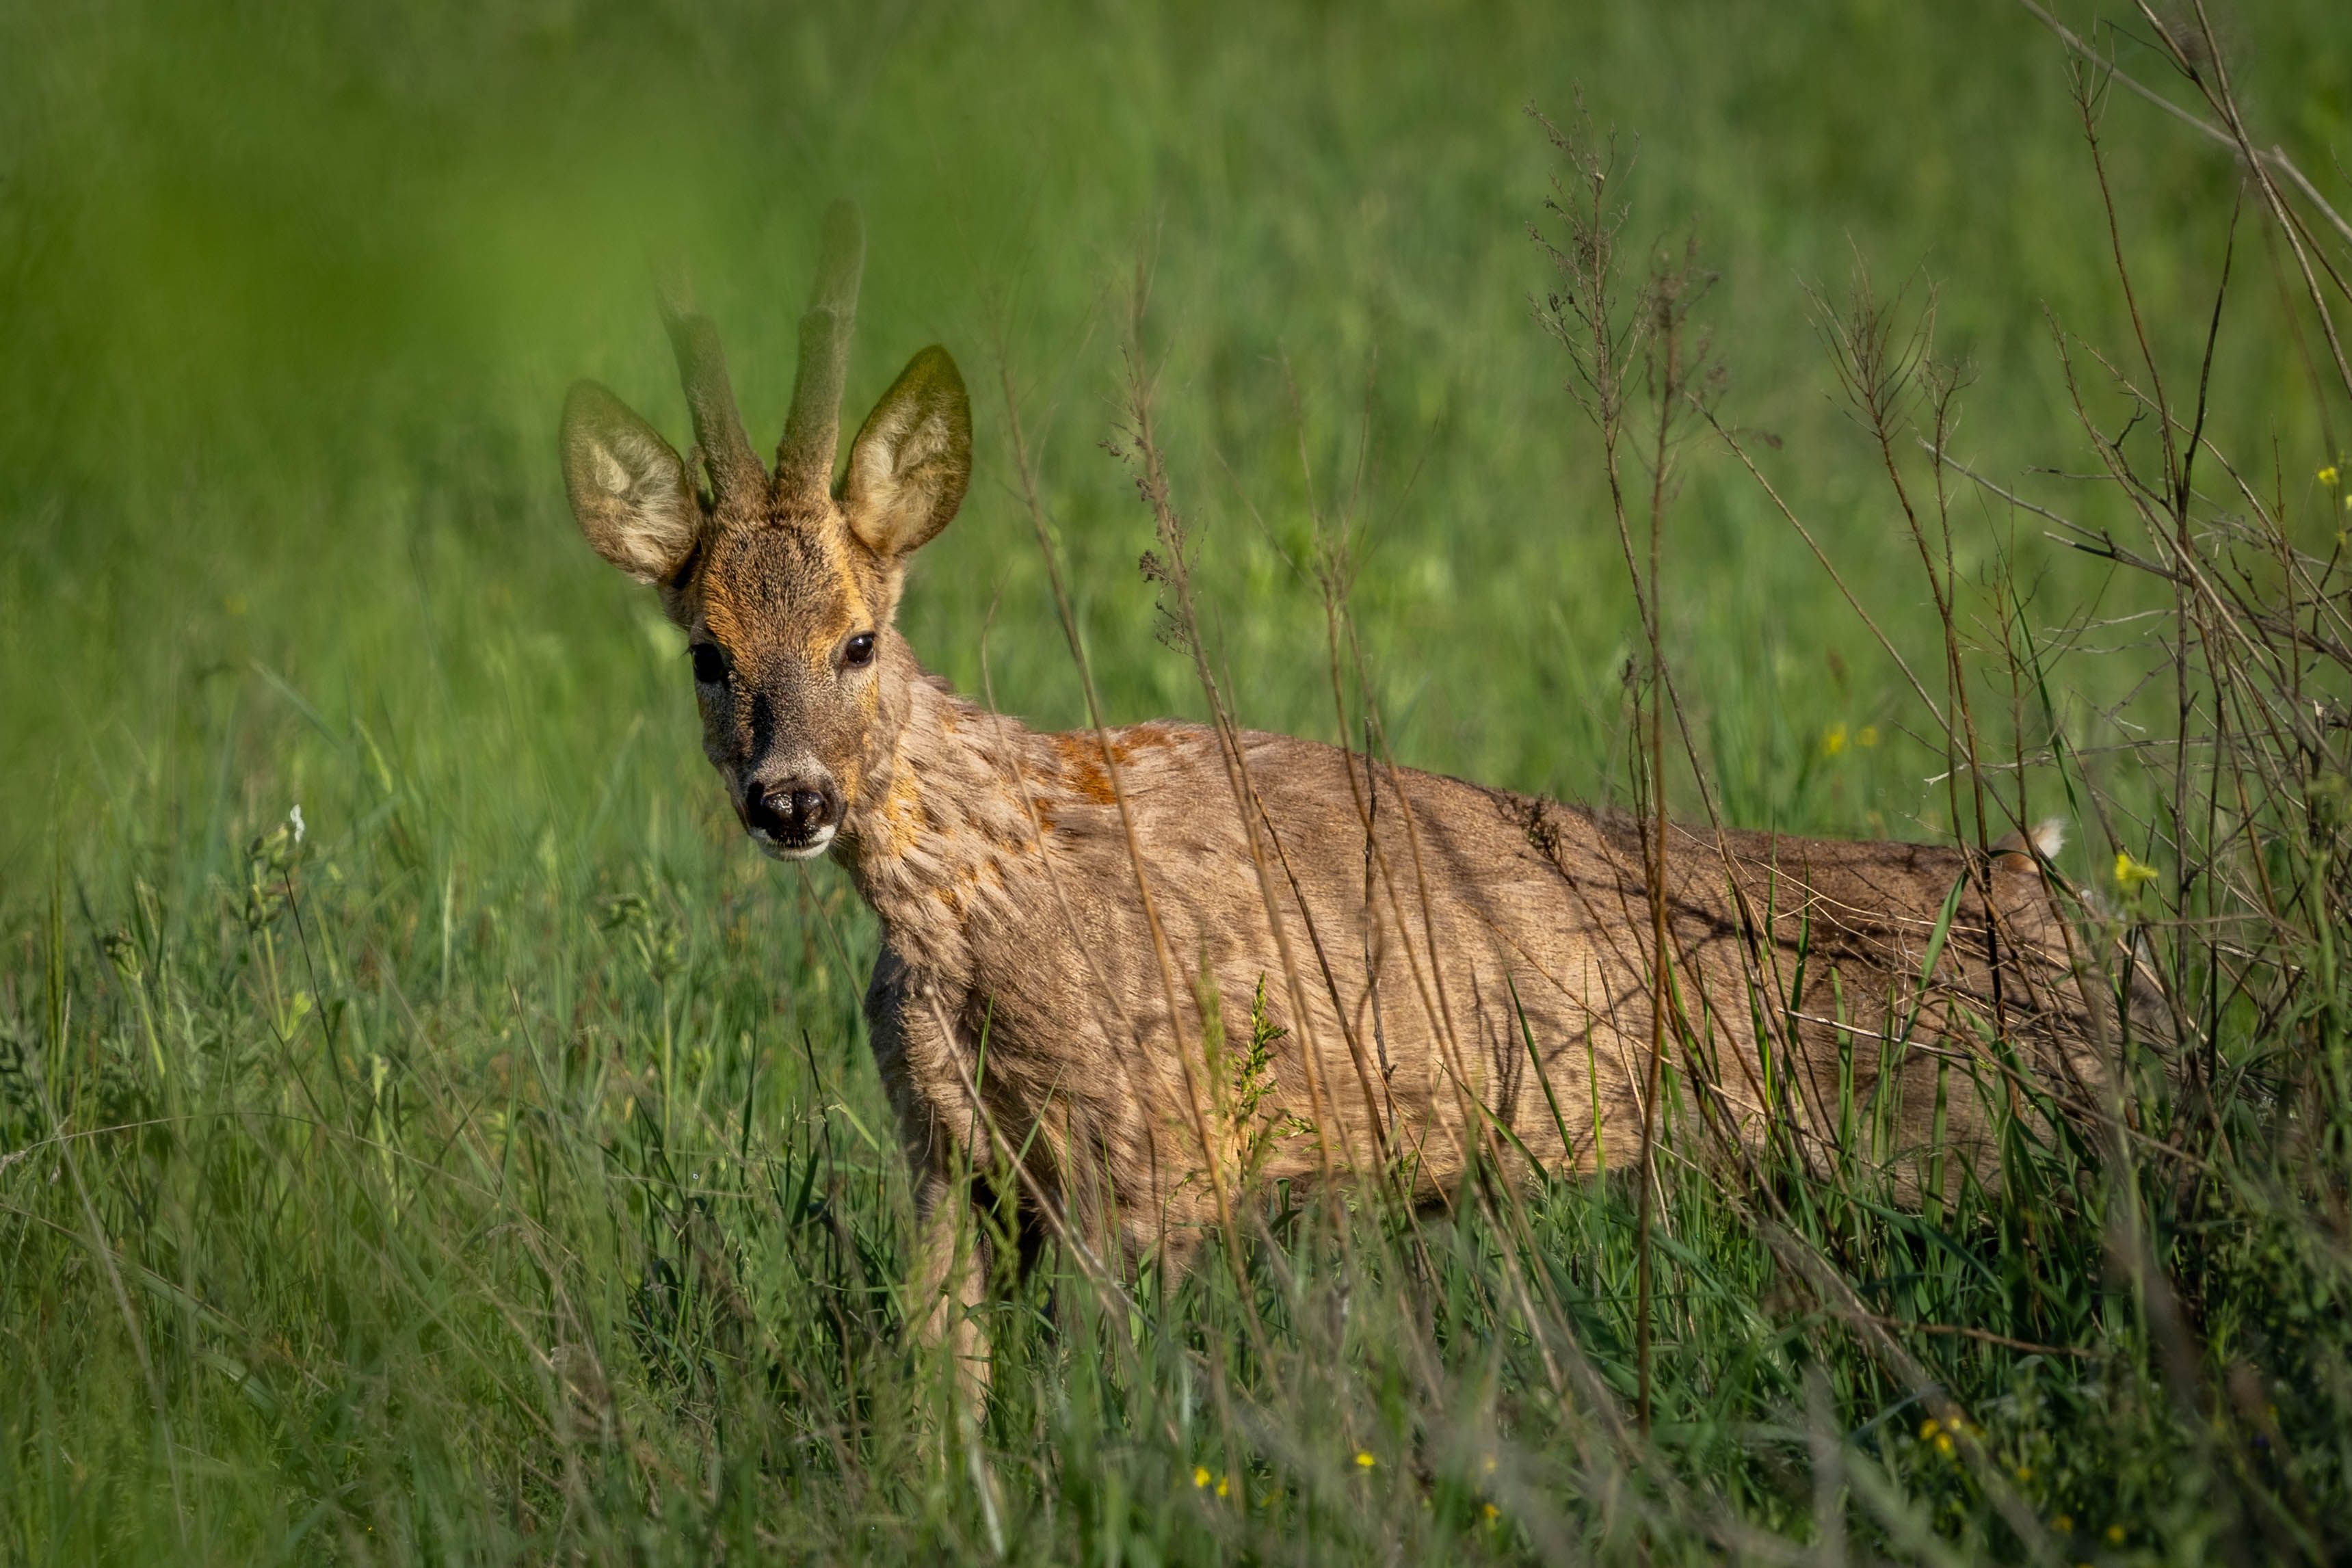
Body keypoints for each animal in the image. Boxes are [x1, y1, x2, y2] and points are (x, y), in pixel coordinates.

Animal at [560, 204, 2107, 1393]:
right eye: (707, 653)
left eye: (859, 640)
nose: (792, 799)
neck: (977, 901)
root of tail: (2065, 897)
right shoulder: (945, 1154)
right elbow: (936, 1405)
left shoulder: (1152, 1159)